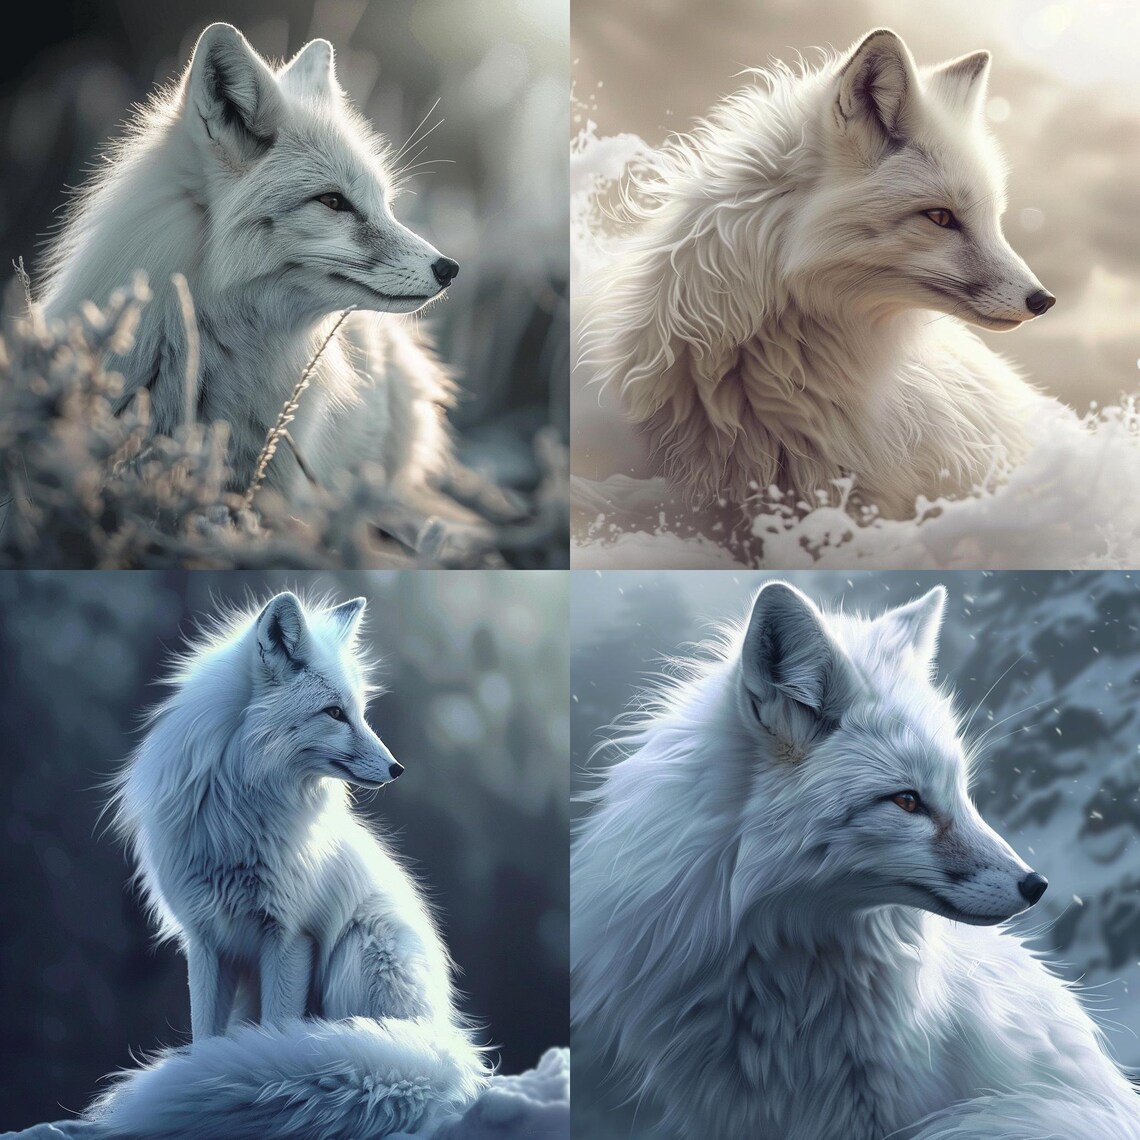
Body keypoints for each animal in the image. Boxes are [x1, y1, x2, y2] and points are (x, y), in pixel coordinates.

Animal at [95, 591, 488, 1137]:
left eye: (360, 712)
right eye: (334, 712)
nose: (397, 769)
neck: (237, 817)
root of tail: (448, 1045)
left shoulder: (290, 936)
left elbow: (276, 1035)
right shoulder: (205, 940)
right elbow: (205, 1038)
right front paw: (208, 1078)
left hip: (358, 951)